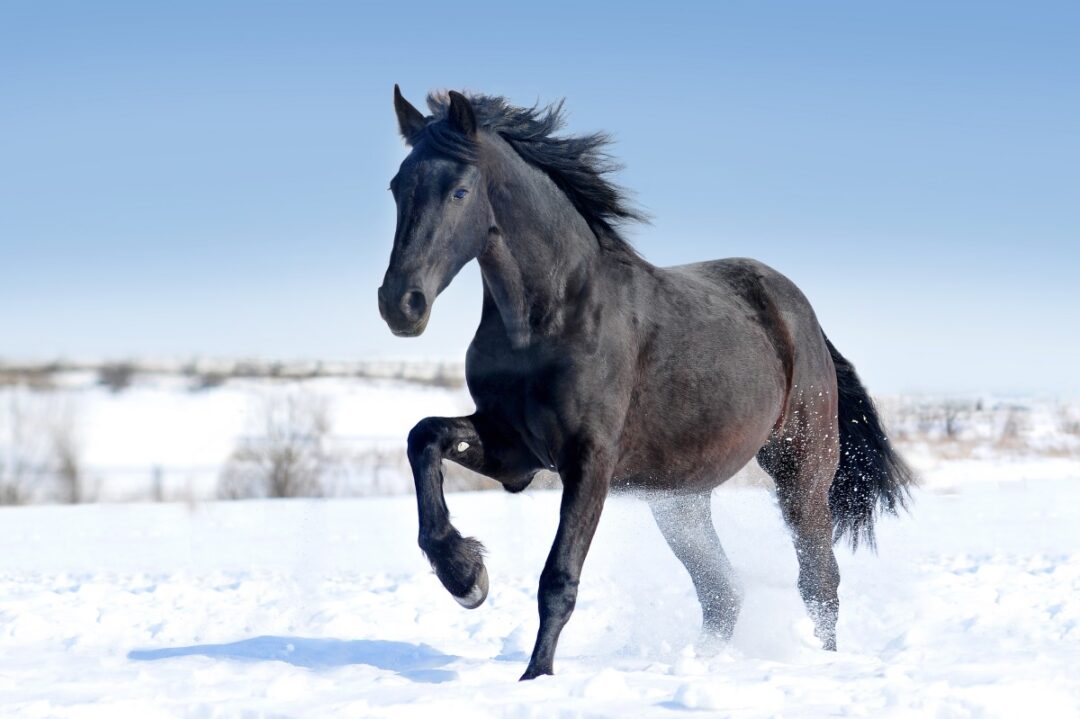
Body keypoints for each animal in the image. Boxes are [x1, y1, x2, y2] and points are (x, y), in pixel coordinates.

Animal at [377, 86, 914, 680]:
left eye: (460, 190)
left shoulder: (590, 459)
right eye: (398, 187)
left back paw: (821, 664)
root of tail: (806, 318)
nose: (401, 304)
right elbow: (423, 436)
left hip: (801, 470)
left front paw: (535, 676)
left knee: (819, 581)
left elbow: (558, 579)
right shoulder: (514, 451)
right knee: (722, 592)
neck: (549, 317)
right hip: (679, 501)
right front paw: (465, 575)